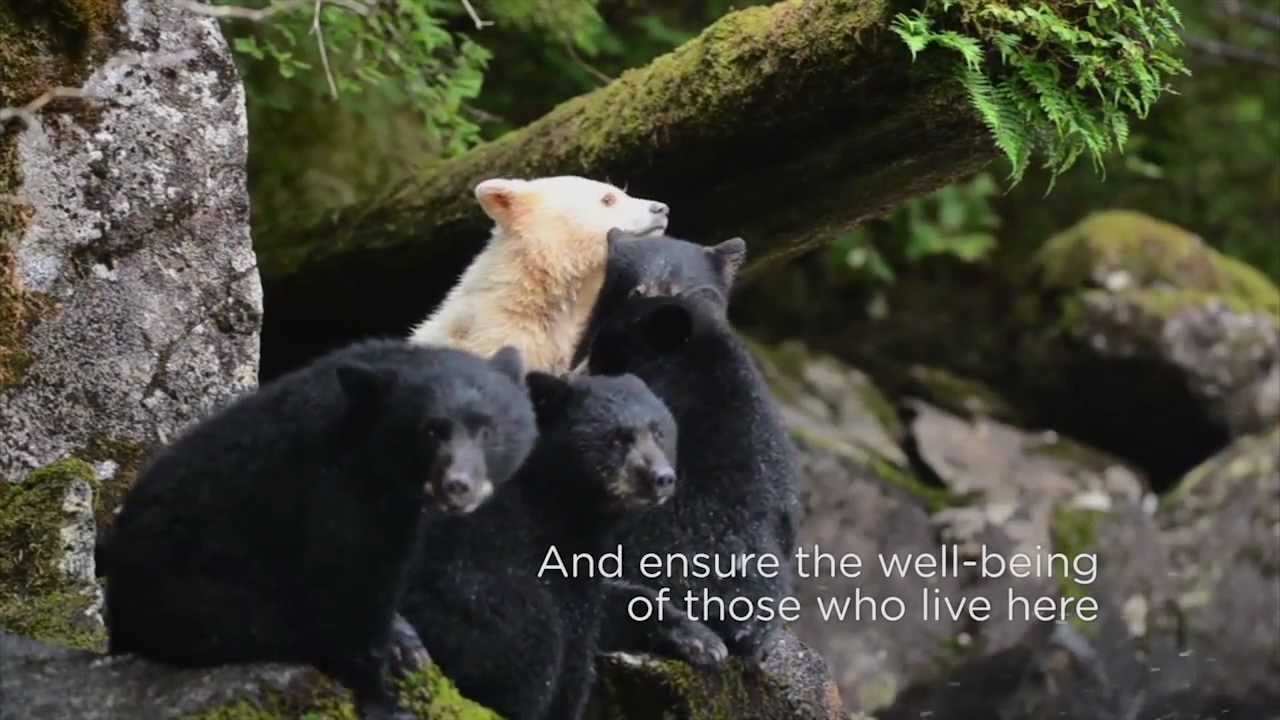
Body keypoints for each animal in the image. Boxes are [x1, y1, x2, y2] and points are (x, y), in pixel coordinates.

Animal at [98, 340, 537, 720]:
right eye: (431, 430)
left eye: (486, 430)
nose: (457, 485)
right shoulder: (338, 486)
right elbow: (350, 584)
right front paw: (384, 700)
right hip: (199, 599)